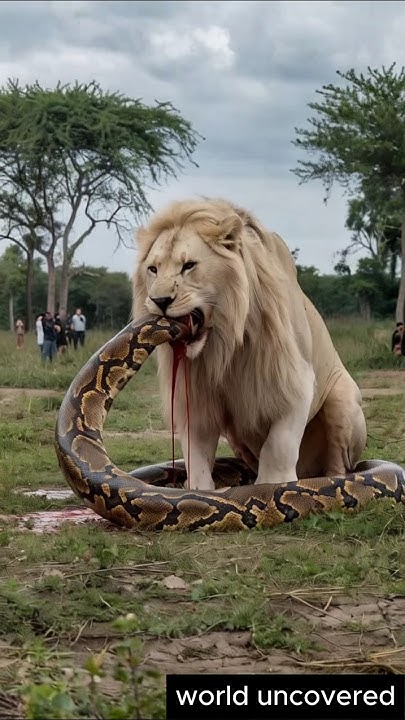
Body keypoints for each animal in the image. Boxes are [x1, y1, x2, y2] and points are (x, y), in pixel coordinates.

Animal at [133, 198, 367, 490]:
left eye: (188, 266)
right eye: (153, 269)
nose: (160, 301)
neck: (223, 343)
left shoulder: (296, 379)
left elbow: (278, 445)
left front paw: (272, 485)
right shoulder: (196, 396)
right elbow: (195, 455)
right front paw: (198, 490)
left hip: (343, 400)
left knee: (338, 462)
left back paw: (332, 481)